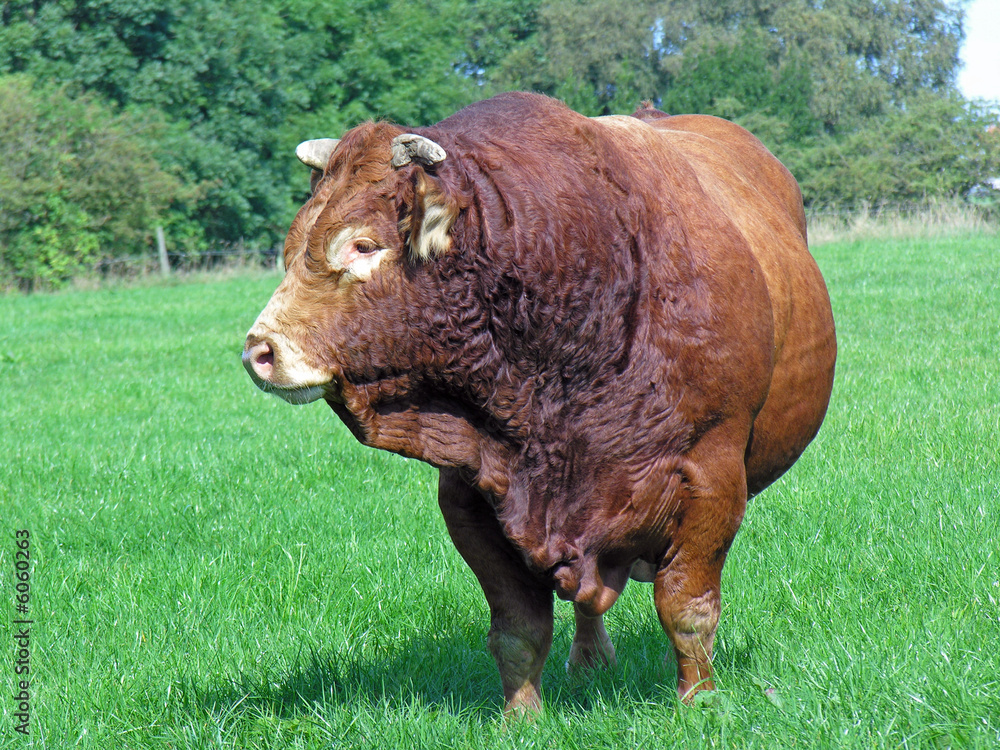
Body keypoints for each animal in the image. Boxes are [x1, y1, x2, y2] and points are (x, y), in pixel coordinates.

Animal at [242, 92, 836, 715]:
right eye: (292, 247)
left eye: (362, 244)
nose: (260, 351)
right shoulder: (472, 493)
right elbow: (518, 627)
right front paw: (520, 718)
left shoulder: (712, 478)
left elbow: (687, 609)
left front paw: (697, 704)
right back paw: (590, 658)